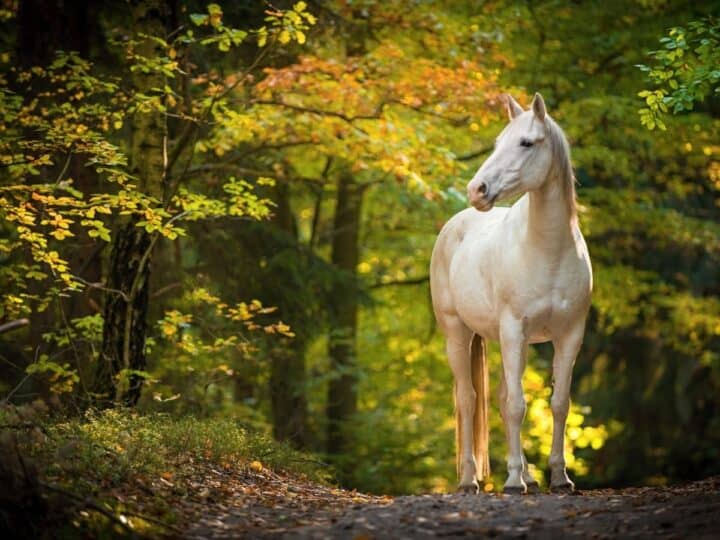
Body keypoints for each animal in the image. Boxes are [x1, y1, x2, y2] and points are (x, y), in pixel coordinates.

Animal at [430, 93, 592, 494]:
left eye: (526, 143)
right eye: (497, 143)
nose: (477, 190)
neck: (548, 251)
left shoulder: (570, 334)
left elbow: (558, 403)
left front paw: (559, 477)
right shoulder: (514, 329)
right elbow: (518, 405)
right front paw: (513, 482)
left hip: (508, 341)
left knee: (502, 398)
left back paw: (528, 476)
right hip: (459, 334)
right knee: (468, 399)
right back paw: (470, 480)